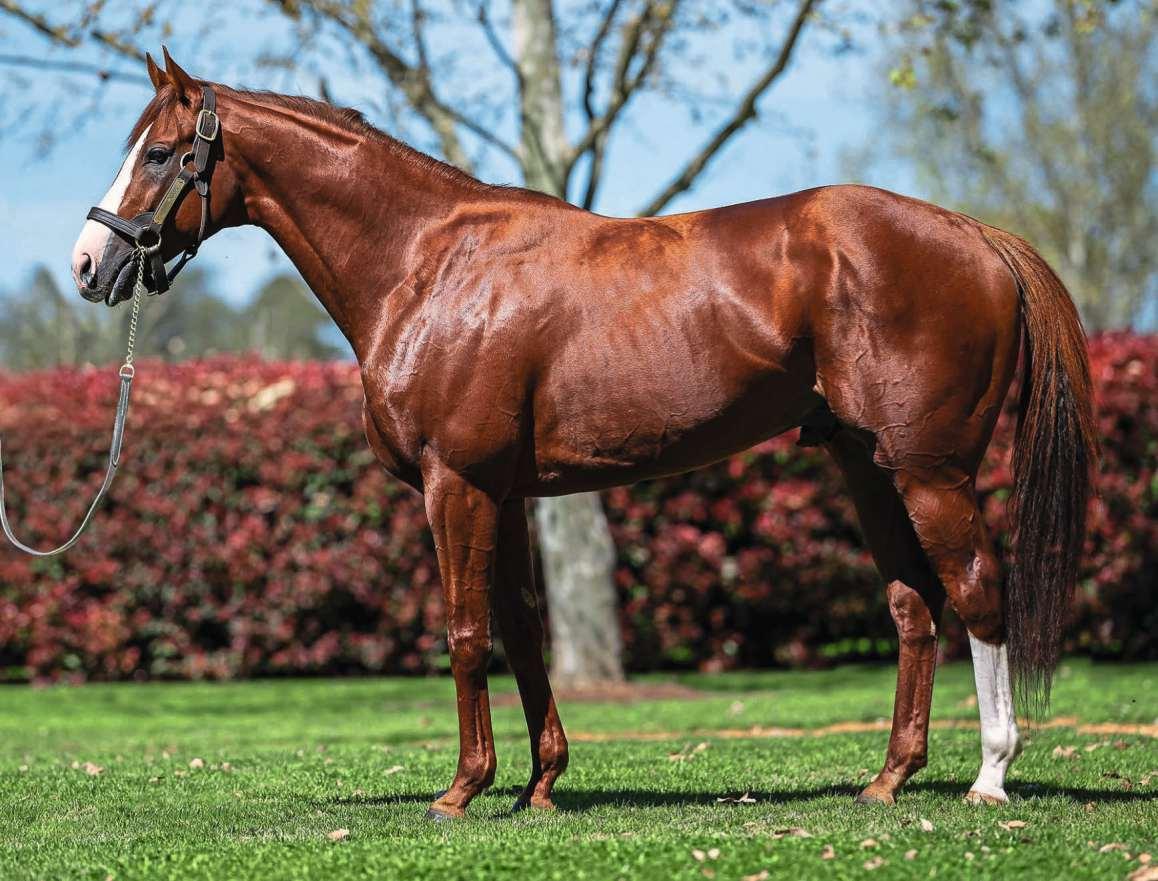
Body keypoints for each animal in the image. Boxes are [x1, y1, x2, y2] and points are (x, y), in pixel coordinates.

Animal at [70, 50, 1096, 820]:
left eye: (162, 153)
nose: (90, 261)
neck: (429, 263)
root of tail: (973, 234)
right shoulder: (508, 493)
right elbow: (525, 629)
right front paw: (540, 785)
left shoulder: (458, 484)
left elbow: (467, 631)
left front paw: (462, 790)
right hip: (867, 464)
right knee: (913, 603)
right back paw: (889, 778)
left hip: (932, 471)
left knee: (978, 590)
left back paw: (990, 775)